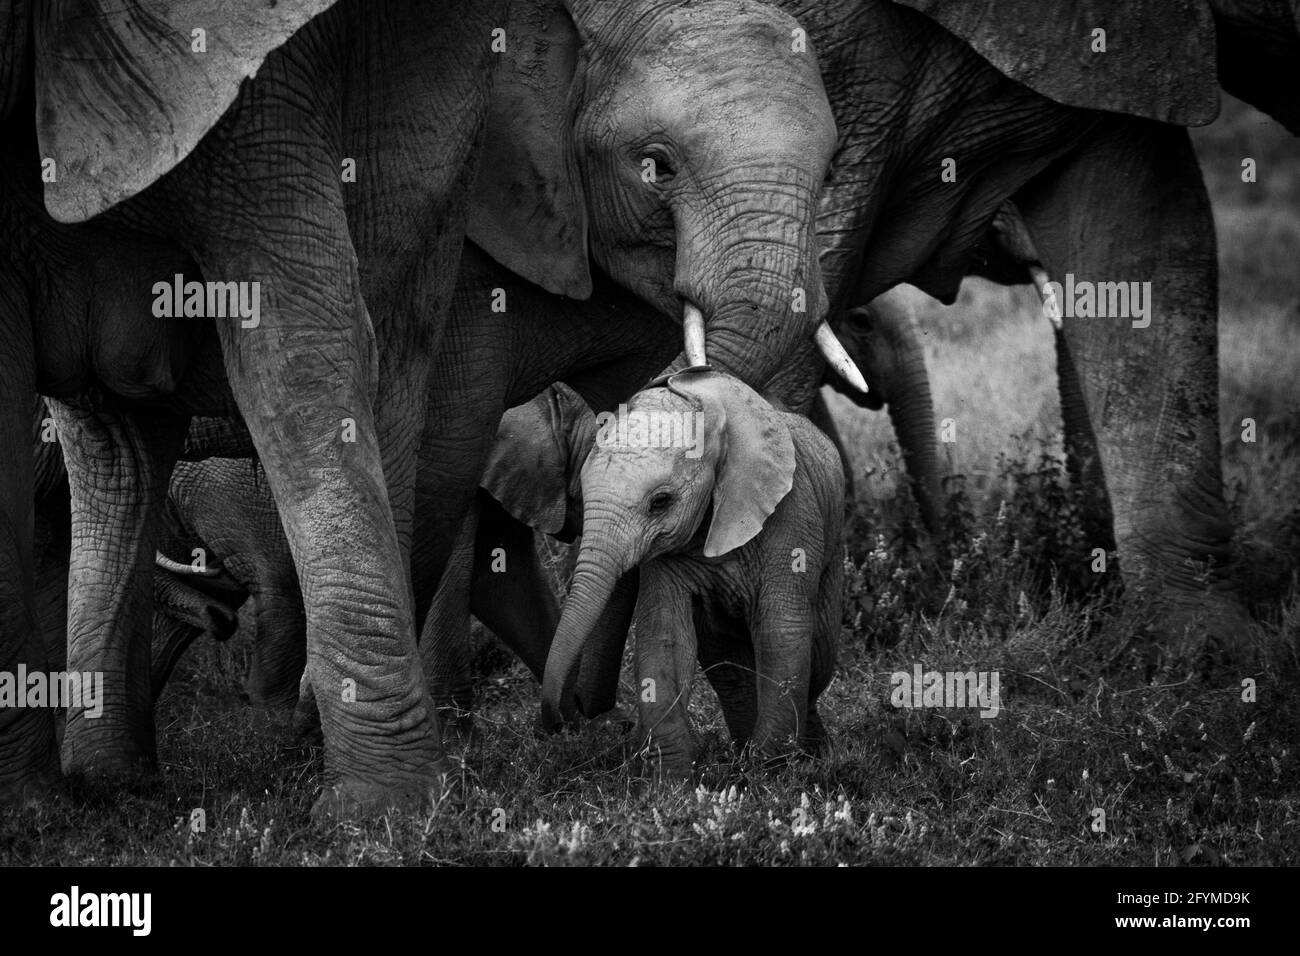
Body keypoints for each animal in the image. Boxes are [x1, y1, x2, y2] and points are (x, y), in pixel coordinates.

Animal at [535, 369, 847, 780]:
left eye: (660, 502)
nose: (556, 723)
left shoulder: (792, 514)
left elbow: (781, 630)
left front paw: (769, 770)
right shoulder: (663, 554)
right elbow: (663, 636)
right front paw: (673, 780)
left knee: (818, 655)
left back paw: (812, 755)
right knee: (730, 670)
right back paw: (745, 753)